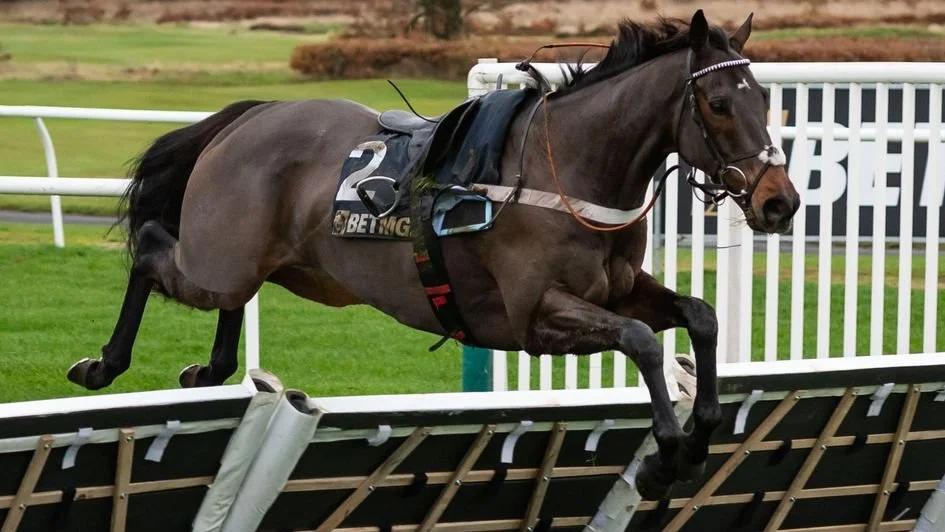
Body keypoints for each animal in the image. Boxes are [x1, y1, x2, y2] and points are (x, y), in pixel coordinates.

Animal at [67, 9, 800, 500]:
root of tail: (252, 114)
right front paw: (665, 456)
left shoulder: (618, 289)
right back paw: (104, 362)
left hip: (275, 265)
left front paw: (697, 438)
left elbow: (700, 316)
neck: (569, 169)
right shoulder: (537, 315)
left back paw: (212, 367)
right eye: (717, 103)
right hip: (217, 261)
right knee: (151, 250)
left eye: (765, 97)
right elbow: (643, 342)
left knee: (227, 291)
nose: (780, 202)